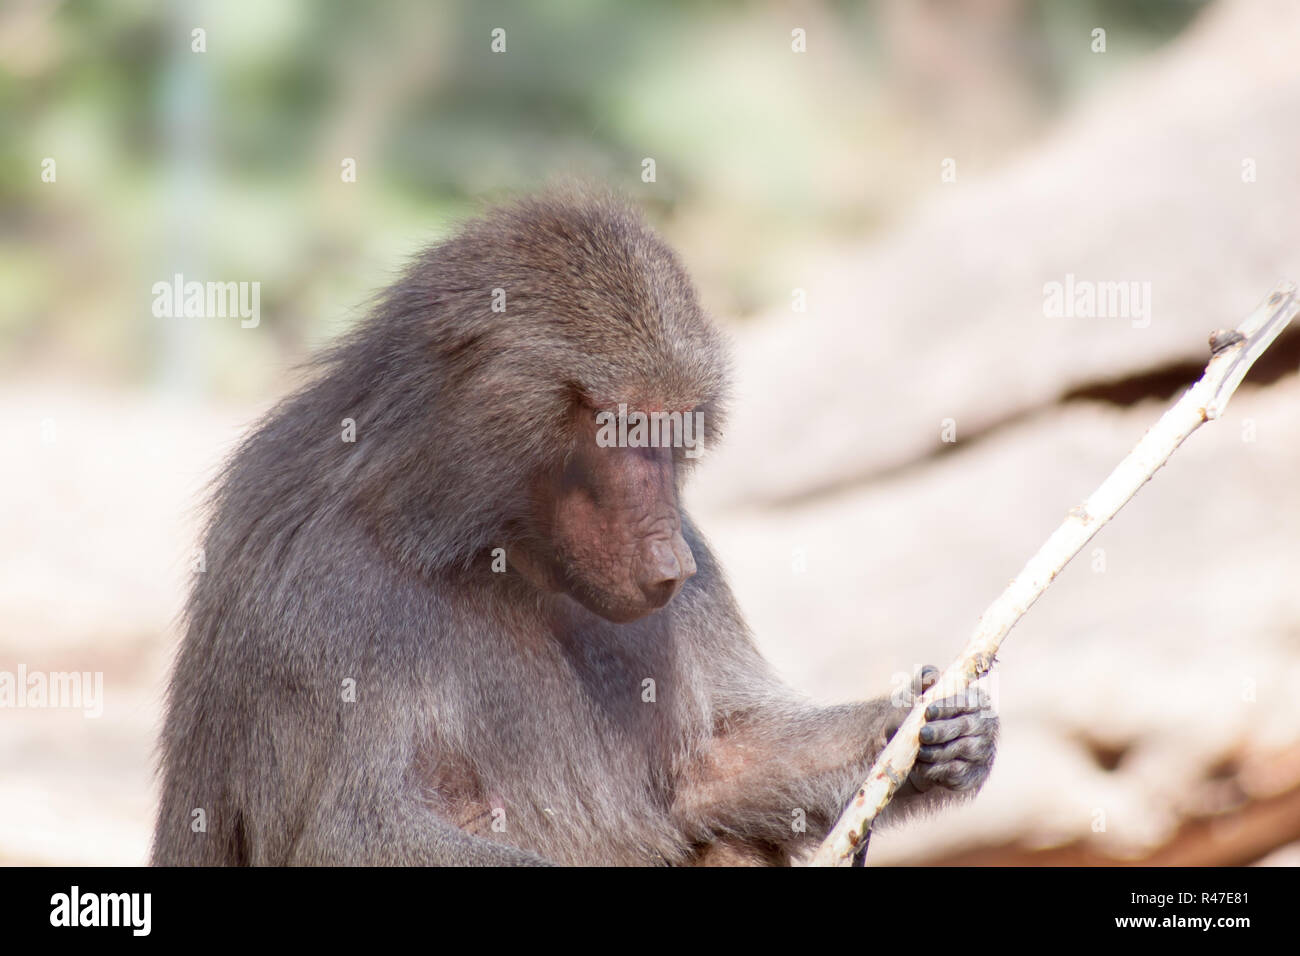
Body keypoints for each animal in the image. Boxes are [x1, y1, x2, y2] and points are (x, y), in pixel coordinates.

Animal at [152, 189, 997, 866]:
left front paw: (929, 731)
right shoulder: (324, 588)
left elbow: (709, 767)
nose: (674, 562)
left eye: (673, 433)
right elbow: (350, 834)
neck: (478, 542)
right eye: (627, 432)